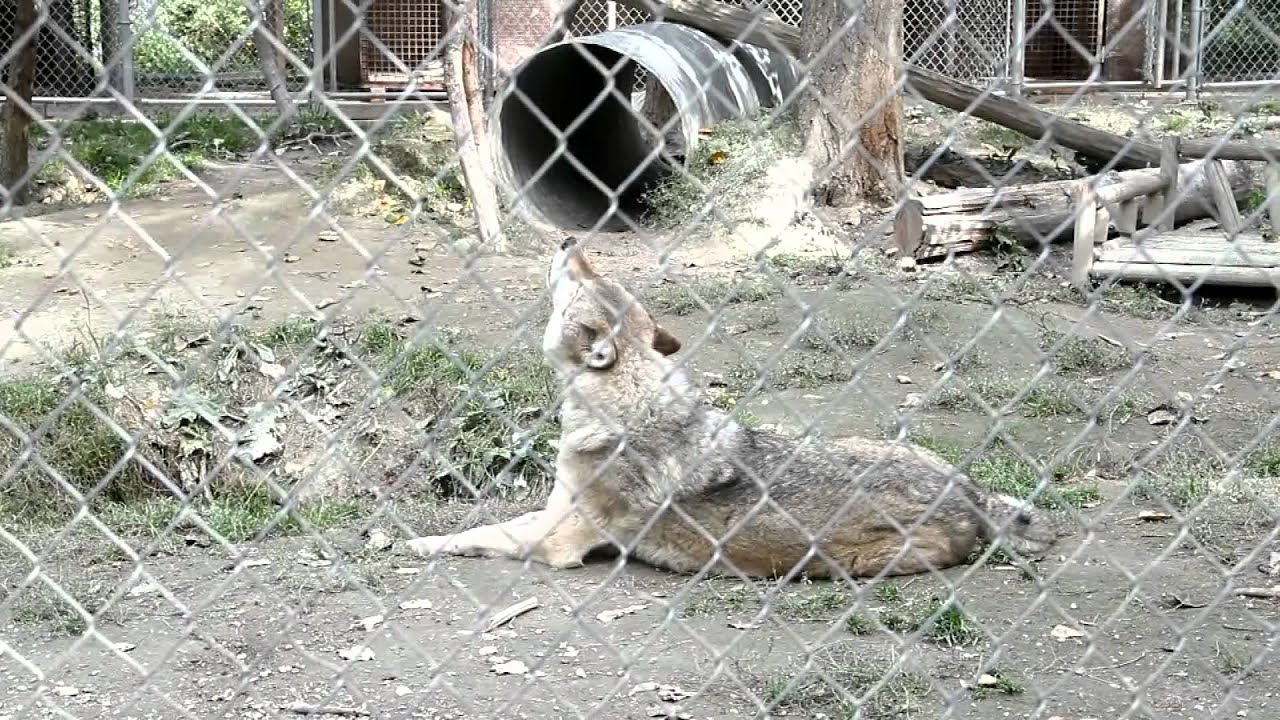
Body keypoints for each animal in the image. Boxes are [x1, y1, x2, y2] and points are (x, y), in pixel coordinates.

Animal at [399, 239, 1056, 578]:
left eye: (582, 280)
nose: (568, 241)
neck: (623, 408)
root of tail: (970, 496)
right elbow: (489, 518)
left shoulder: (556, 542)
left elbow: (484, 531)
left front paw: (417, 544)